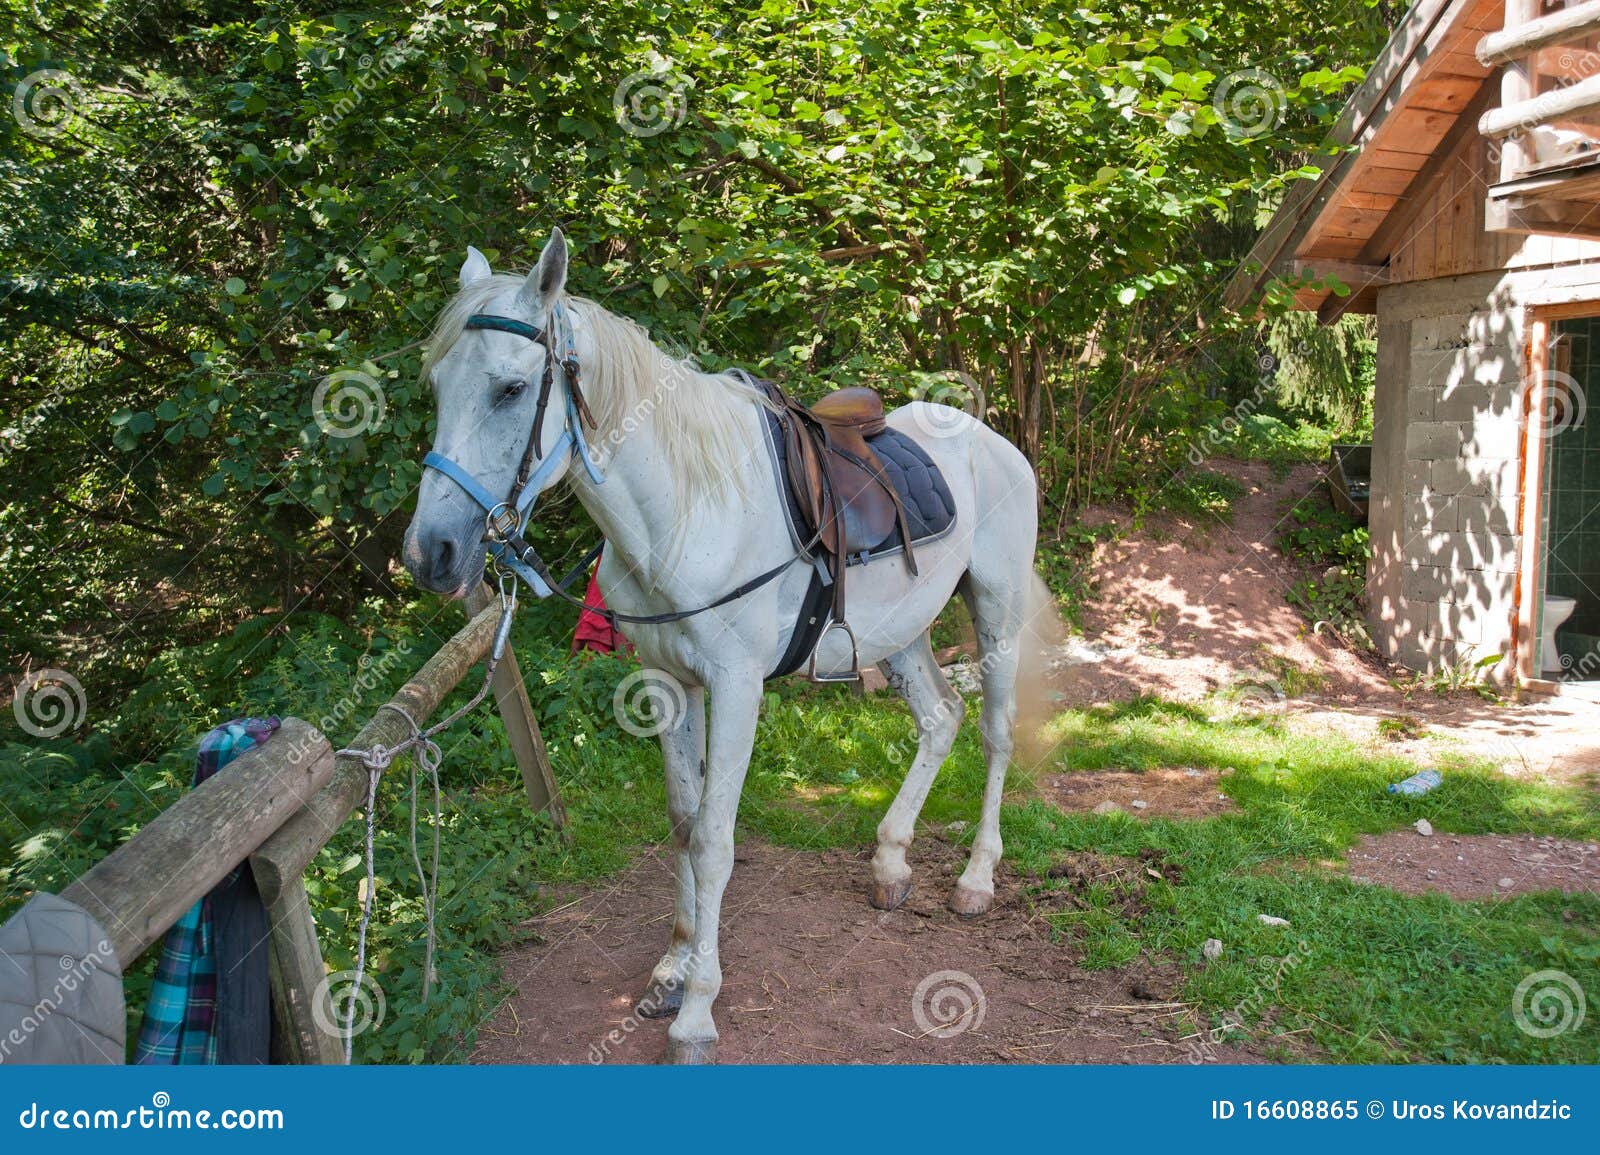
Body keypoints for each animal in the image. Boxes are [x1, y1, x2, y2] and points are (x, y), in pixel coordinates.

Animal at [402, 228, 1048, 1063]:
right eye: (437, 385)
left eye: (511, 389)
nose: (431, 553)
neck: (682, 507)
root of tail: (992, 441)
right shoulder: (667, 681)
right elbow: (682, 819)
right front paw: (673, 969)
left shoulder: (736, 685)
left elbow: (713, 837)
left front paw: (698, 1013)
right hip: (901, 632)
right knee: (941, 719)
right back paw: (890, 860)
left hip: (996, 611)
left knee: (996, 733)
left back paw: (975, 879)